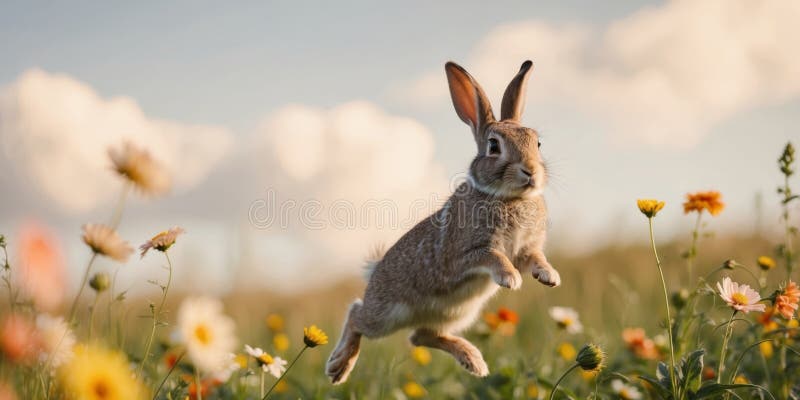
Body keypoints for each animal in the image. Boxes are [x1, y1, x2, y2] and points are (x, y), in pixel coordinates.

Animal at [326, 60, 560, 384]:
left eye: (537, 143)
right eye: (493, 146)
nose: (531, 171)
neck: (509, 198)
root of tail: (373, 273)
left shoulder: (526, 250)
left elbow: (536, 258)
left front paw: (550, 276)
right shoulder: (464, 254)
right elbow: (493, 256)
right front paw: (510, 278)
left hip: (456, 314)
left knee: (420, 337)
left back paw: (473, 361)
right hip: (386, 314)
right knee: (357, 315)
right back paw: (338, 366)